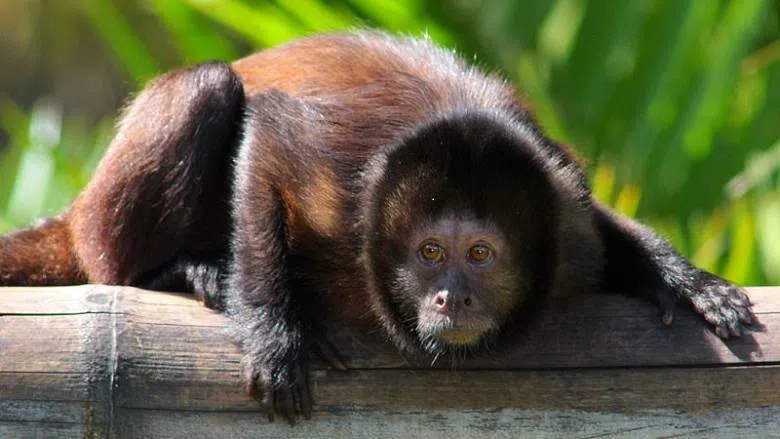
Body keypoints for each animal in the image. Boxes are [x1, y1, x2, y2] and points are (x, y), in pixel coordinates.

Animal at [0, 31, 755, 424]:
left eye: (481, 254)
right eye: (430, 252)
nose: (453, 297)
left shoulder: (561, 209)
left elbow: (595, 219)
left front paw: (687, 282)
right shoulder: (344, 188)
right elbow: (269, 140)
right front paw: (274, 332)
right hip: (103, 223)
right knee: (208, 88)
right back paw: (180, 271)